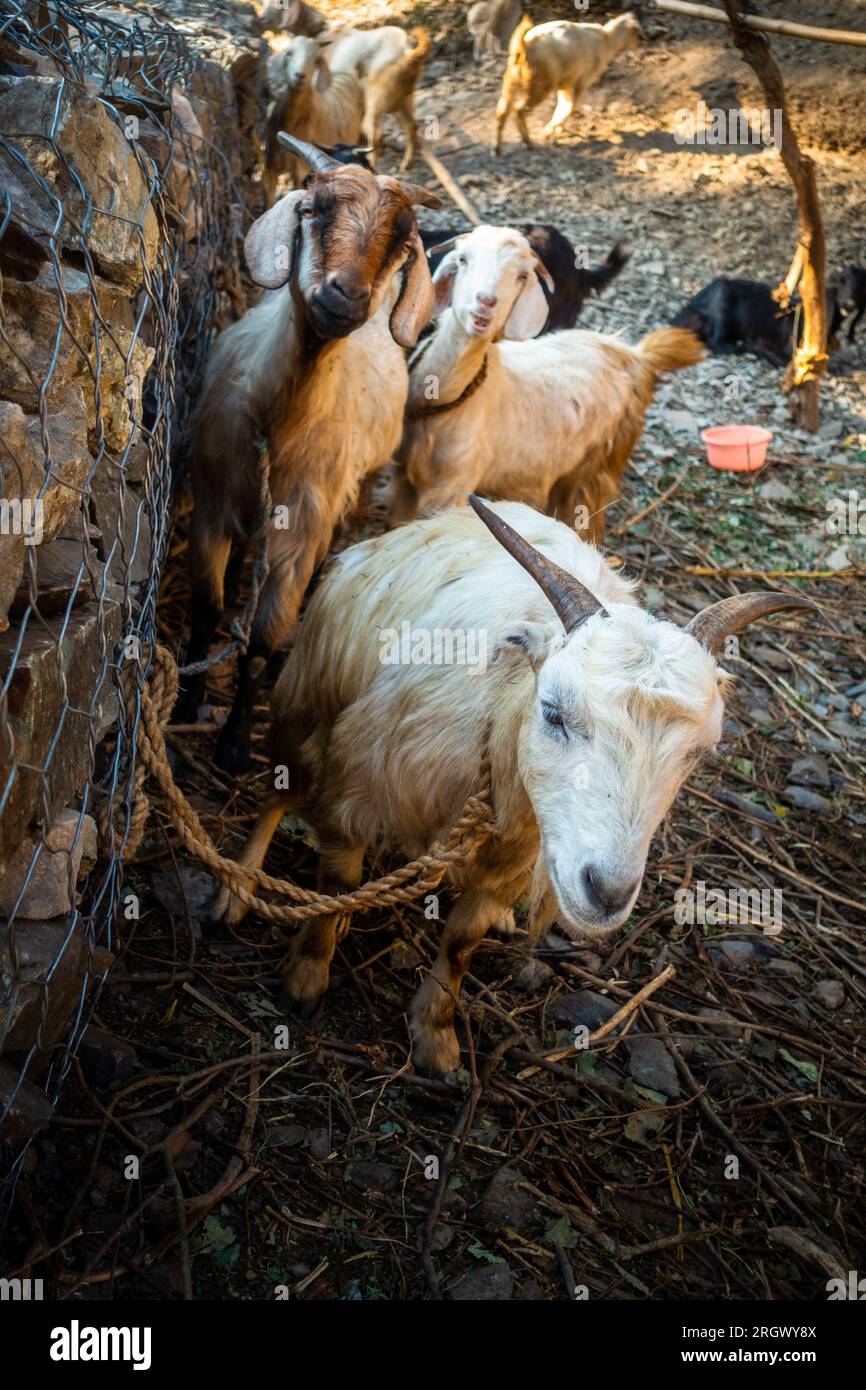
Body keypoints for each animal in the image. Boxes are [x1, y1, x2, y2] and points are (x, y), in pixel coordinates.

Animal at [177, 138, 440, 773]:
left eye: (402, 246)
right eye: (313, 210)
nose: (345, 298)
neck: (279, 424)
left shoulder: (300, 532)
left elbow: (263, 640)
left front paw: (233, 743)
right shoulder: (210, 507)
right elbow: (207, 606)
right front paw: (187, 704)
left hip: (356, 486)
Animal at [211, 496, 811, 1074]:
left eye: (698, 753)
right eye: (554, 712)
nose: (607, 892)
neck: (499, 714)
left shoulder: (519, 852)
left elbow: (461, 942)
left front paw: (436, 1037)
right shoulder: (355, 790)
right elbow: (337, 886)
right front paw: (306, 977)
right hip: (305, 702)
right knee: (277, 793)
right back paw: (235, 891)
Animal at [328, 25, 430, 170]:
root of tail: (407, 52)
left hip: (376, 101)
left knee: (376, 133)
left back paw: (372, 163)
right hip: (400, 100)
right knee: (410, 126)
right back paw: (405, 163)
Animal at [494, 12, 643, 154]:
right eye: (637, 33)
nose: (640, 43)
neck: (607, 39)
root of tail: (523, 46)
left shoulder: (566, 84)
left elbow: (564, 106)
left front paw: (554, 129)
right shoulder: (582, 82)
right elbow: (570, 107)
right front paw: (550, 130)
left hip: (511, 83)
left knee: (501, 112)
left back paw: (497, 149)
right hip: (539, 86)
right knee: (518, 110)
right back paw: (528, 142)